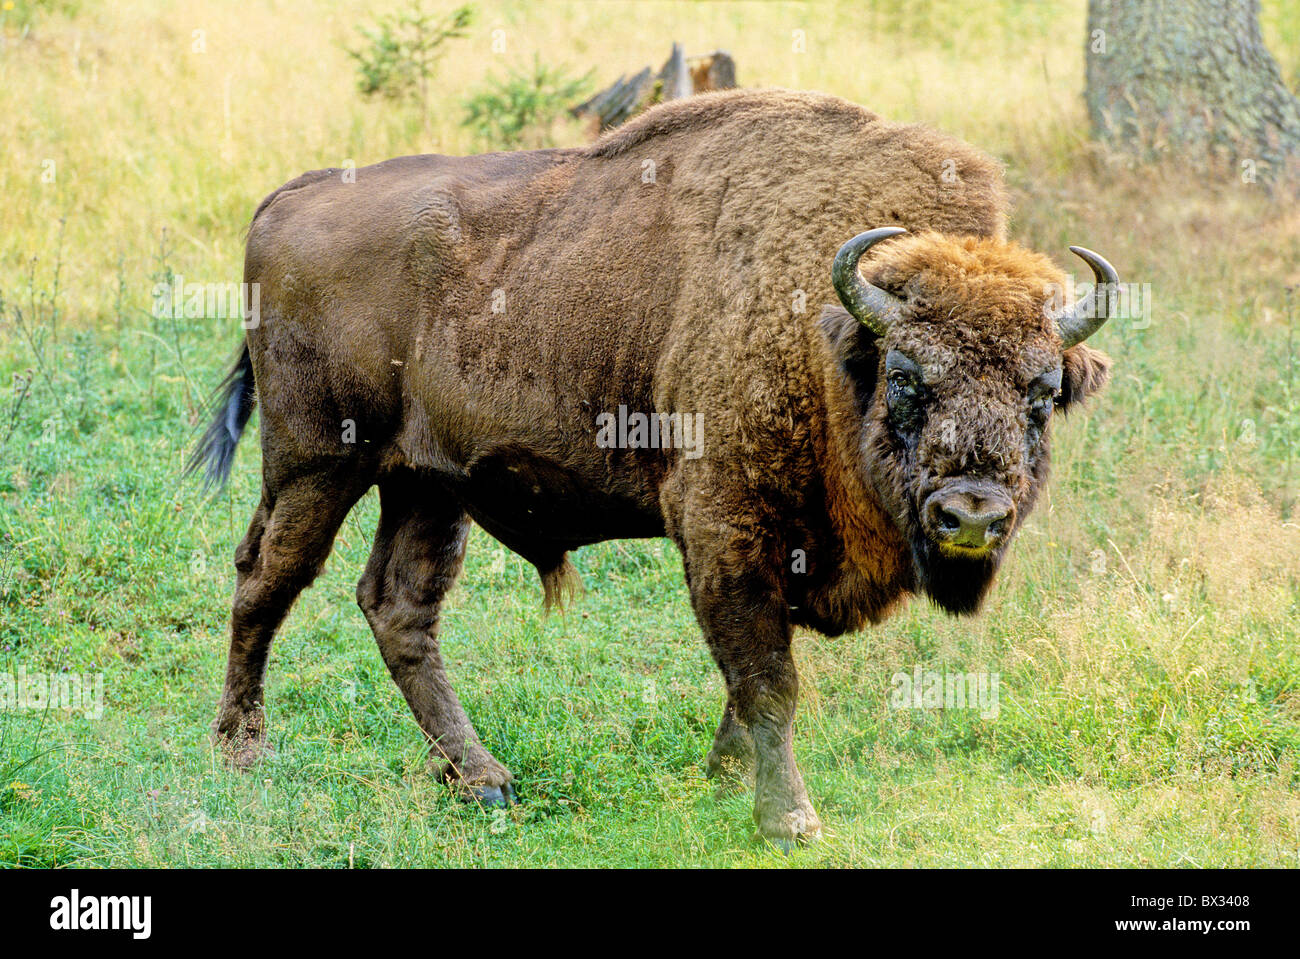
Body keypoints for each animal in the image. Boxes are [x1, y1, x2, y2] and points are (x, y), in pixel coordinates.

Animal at [190, 89, 1115, 845]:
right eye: (907, 376)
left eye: (1041, 394)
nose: (971, 514)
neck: (822, 334)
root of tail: (290, 196)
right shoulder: (724, 527)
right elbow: (768, 675)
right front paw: (789, 818)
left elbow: (754, 679)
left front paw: (727, 776)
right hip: (317, 463)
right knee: (265, 579)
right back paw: (241, 753)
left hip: (425, 483)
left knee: (398, 606)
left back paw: (481, 780)